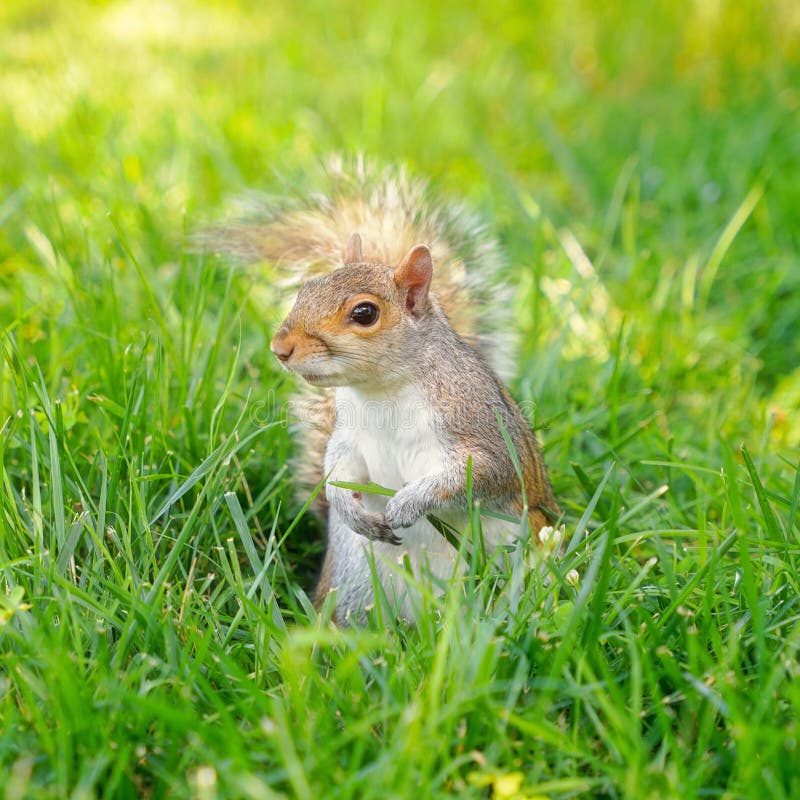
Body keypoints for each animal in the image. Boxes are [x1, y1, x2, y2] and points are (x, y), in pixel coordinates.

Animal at [209, 158, 559, 622]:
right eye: (306, 289)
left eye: (364, 313)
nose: (280, 348)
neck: (382, 391)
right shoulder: (349, 433)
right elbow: (337, 470)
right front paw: (350, 509)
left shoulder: (478, 424)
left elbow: (482, 472)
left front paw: (408, 503)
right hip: (353, 581)